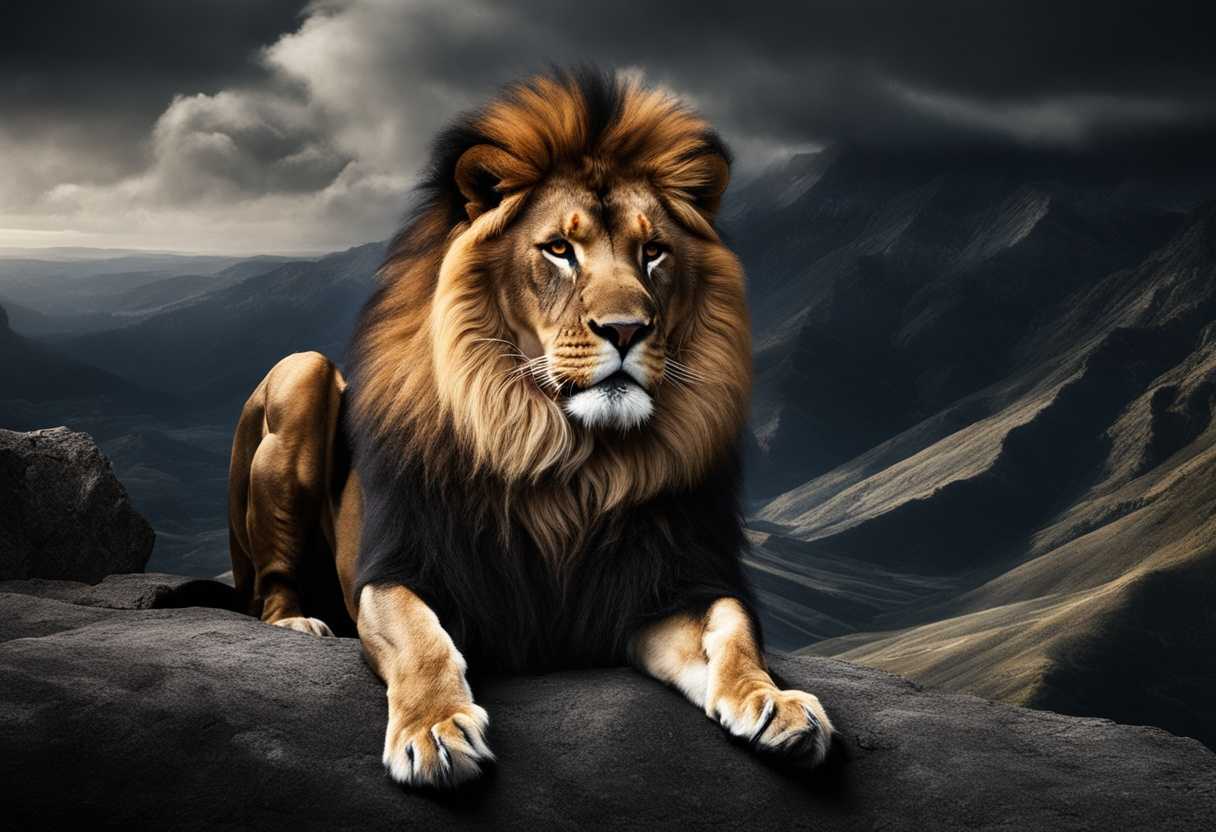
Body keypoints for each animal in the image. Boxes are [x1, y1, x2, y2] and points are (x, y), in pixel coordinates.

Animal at [228, 68, 834, 788]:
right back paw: (298, 623)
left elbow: (734, 630)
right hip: (303, 373)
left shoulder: (658, 589)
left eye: (654, 252)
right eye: (559, 251)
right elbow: (422, 641)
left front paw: (774, 702)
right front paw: (434, 729)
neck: (570, 463)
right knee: (267, 587)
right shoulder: (402, 571)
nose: (627, 329)